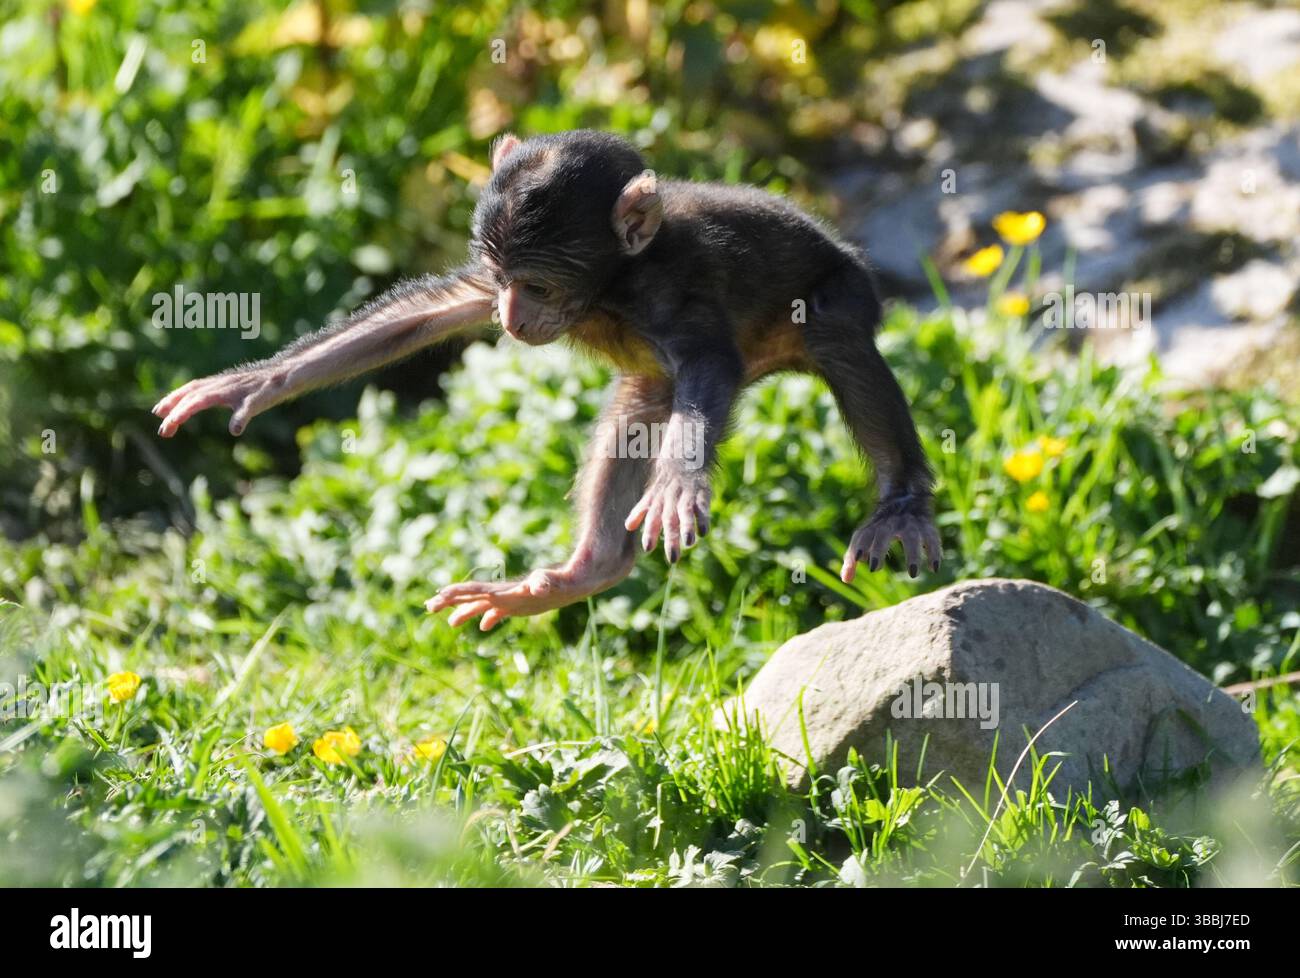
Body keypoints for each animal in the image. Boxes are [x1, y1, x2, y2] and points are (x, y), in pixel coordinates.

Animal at [153, 130, 941, 631]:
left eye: (537, 284)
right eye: (503, 280)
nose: (509, 315)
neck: (610, 286)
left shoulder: (673, 291)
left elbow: (711, 366)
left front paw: (679, 481)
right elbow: (423, 314)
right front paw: (256, 381)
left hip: (841, 293)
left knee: (835, 337)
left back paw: (901, 502)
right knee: (636, 415)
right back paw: (584, 572)